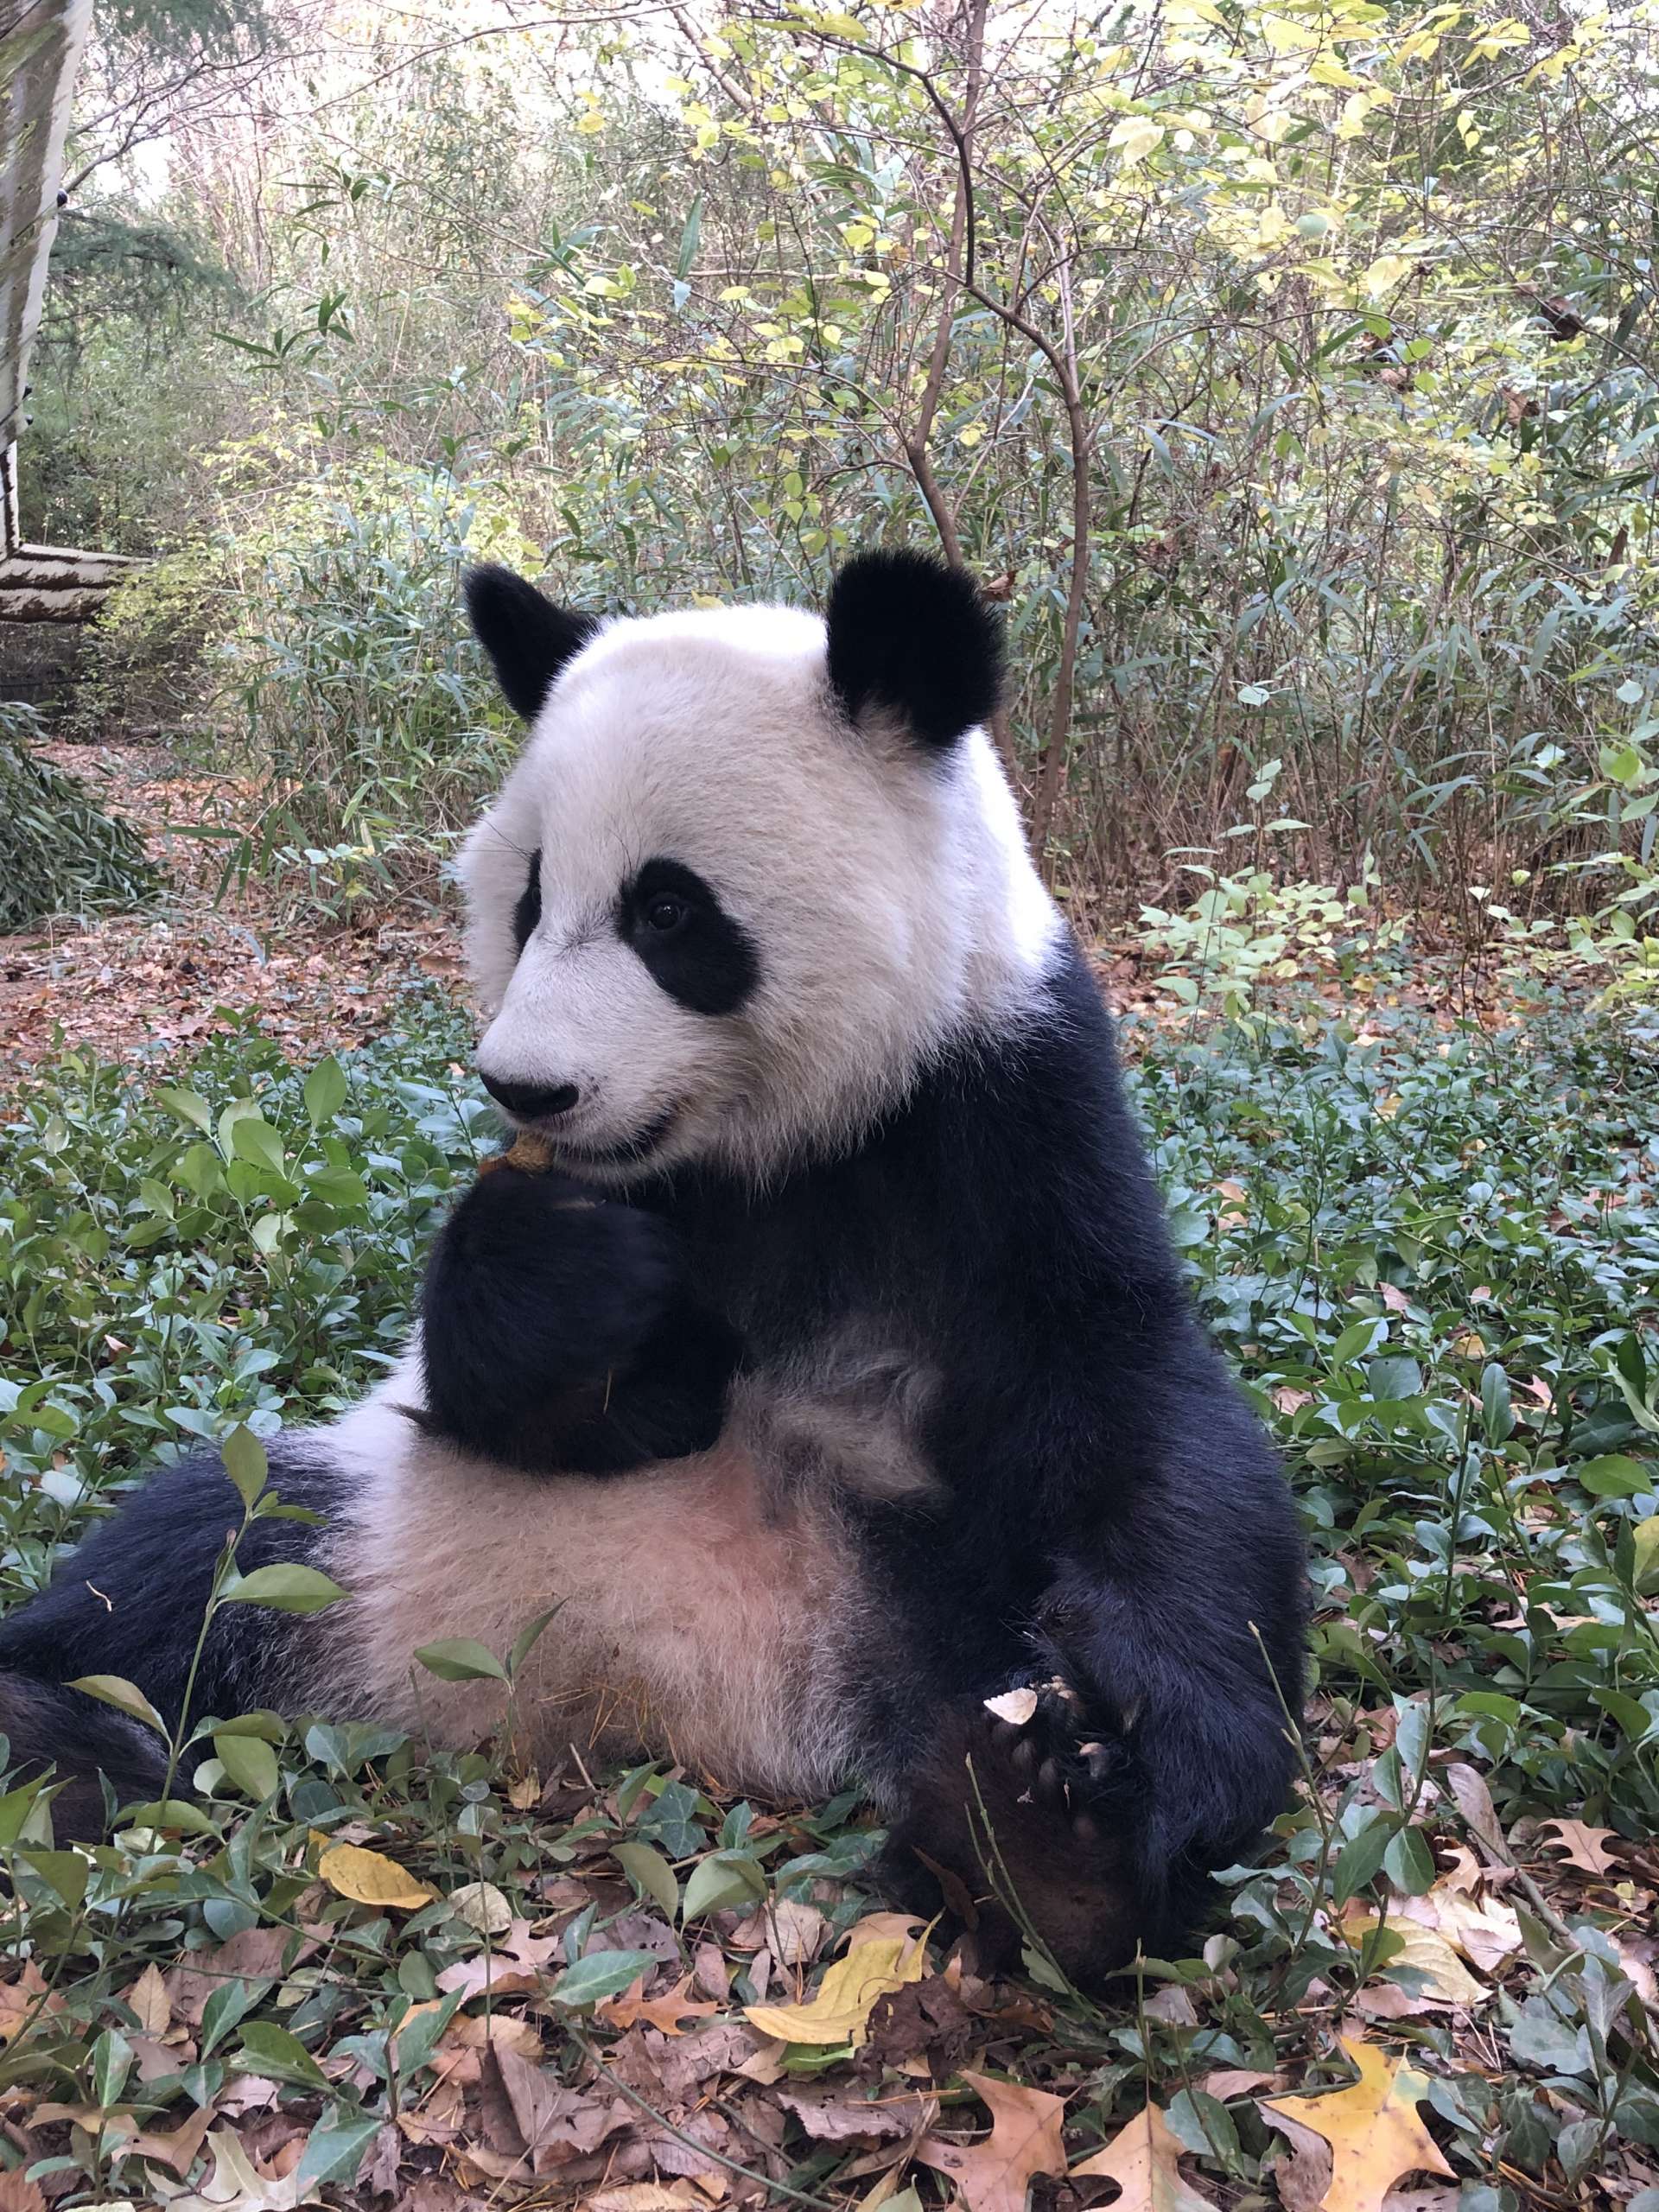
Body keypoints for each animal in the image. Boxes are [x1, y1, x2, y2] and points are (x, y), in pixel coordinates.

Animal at [0, 550, 1305, 1984]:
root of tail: (663, 1690)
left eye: (669, 910)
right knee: (199, 1558)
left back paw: (1033, 1846)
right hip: (375, 1520)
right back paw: (58, 1740)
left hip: (911, 1573)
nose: (531, 1085)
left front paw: (1093, 1787)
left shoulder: (1001, 1105)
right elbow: (545, 1388)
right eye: (526, 902)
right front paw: (574, 1281)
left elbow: (1131, 1420)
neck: (770, 1143)